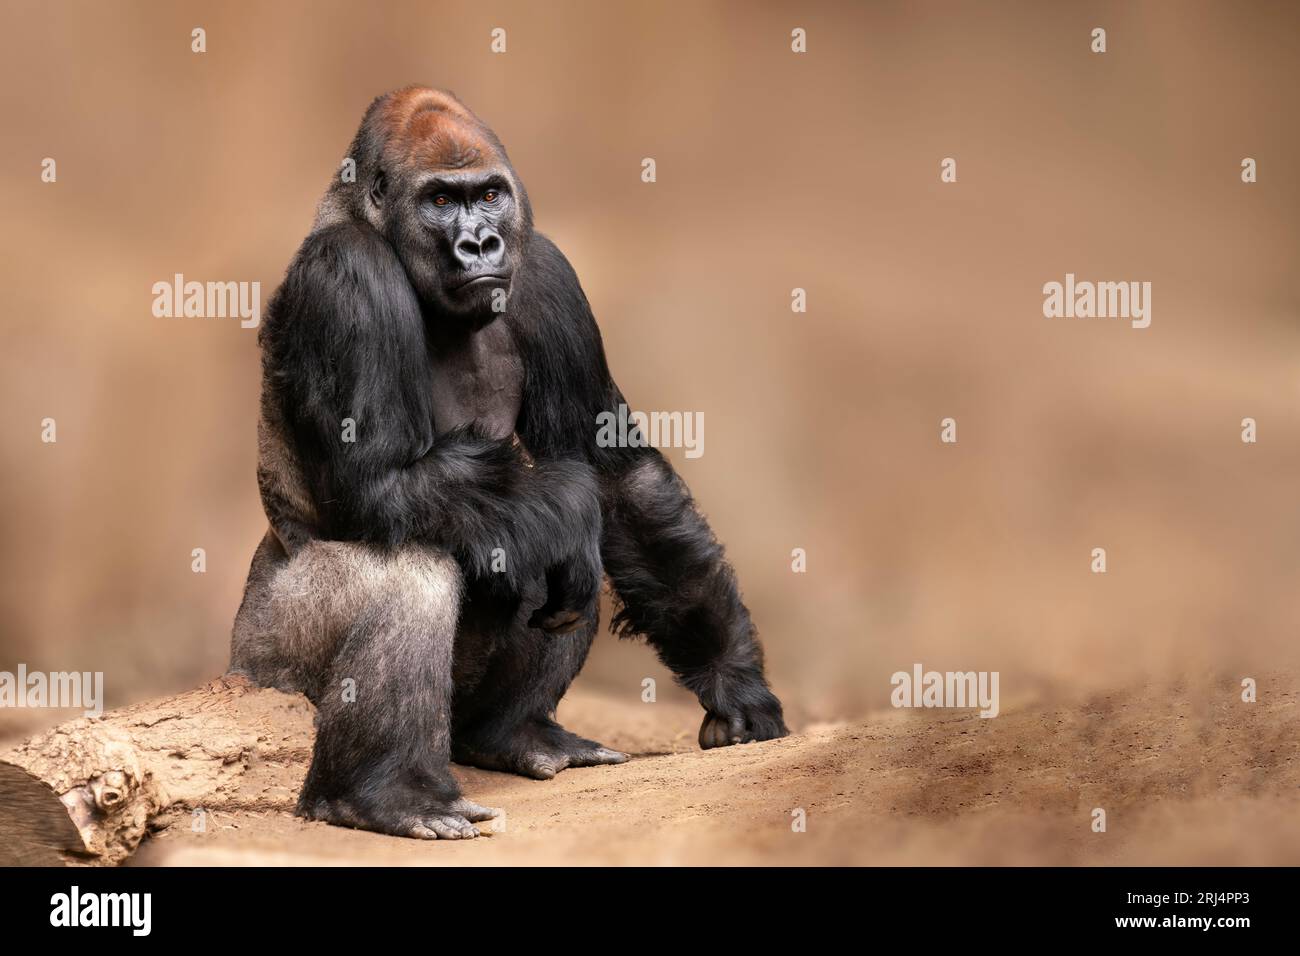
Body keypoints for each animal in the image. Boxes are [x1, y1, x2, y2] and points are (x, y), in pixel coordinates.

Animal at [229, 87, 788, 840]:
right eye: (440, 200)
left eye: (489, 195)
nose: (480, 243)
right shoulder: (346, 273)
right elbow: (383, 482)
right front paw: (565, 506)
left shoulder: (548, 273)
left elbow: (617, 478)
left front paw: (734, 678)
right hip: (266, 671)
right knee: (419, 568)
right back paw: (382, 794)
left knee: (558, 562)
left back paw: (509, 733)